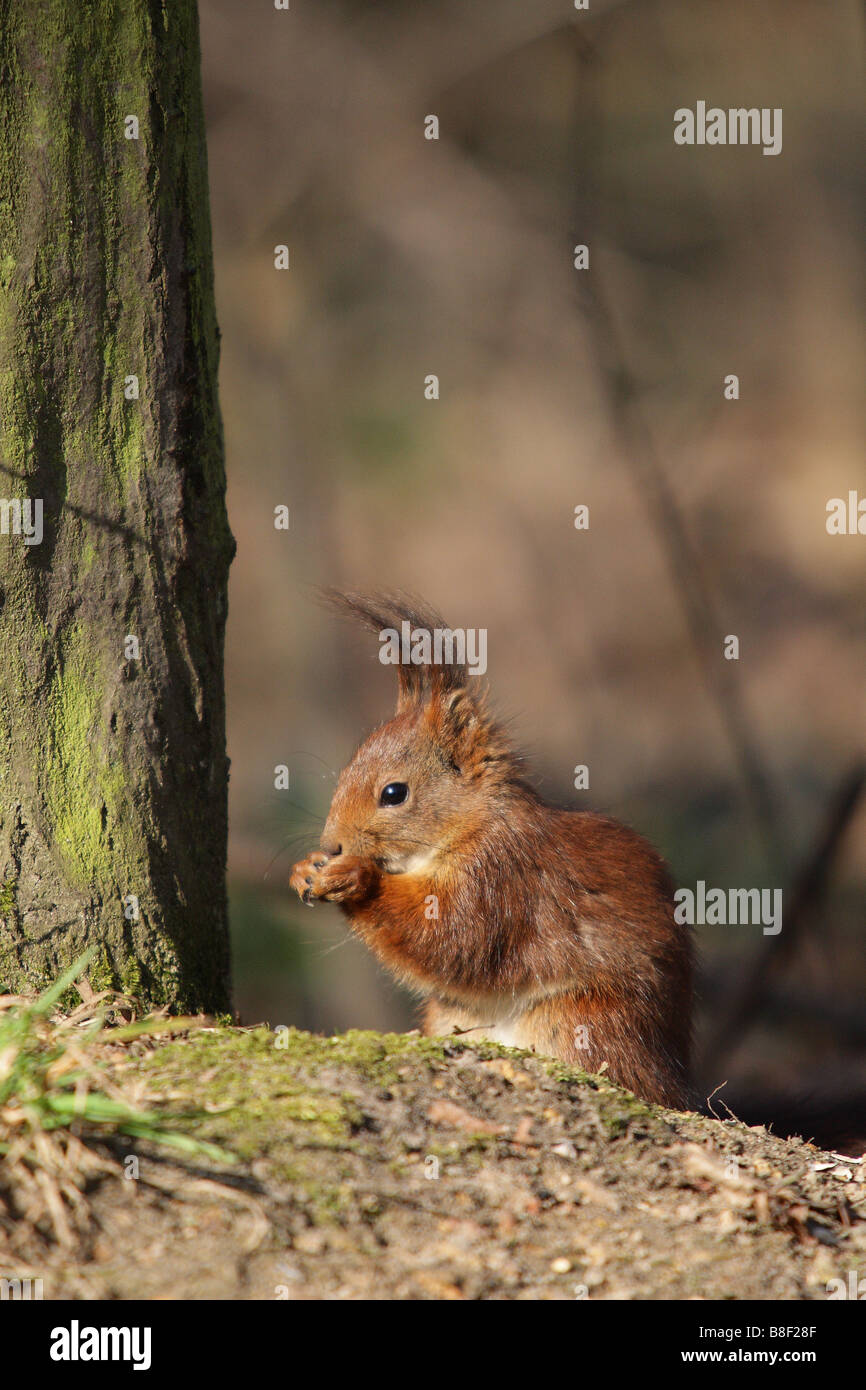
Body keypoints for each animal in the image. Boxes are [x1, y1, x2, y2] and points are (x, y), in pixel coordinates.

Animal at [290, 592, 693, 1110]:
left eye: (394, 793)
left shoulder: (501, 871)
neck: (470, 823)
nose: (331, 845)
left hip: (586, 1021)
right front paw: (306, 870)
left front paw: (357, 877)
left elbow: (455, 937)